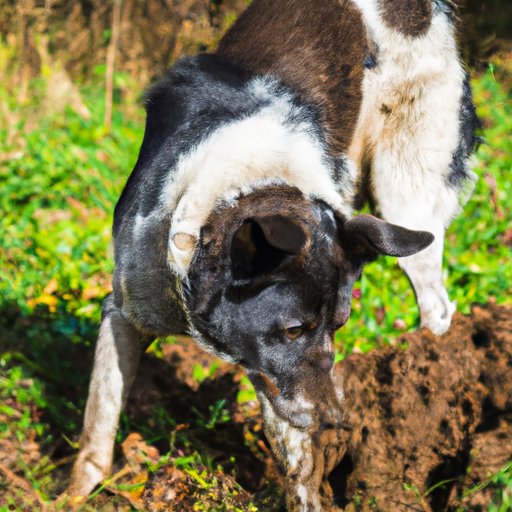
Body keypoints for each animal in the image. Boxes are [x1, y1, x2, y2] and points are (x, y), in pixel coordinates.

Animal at [65, 1, 480, 508]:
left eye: (339, 325)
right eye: (294, 329)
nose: (336, 421)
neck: (247, 185)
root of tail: (417, 10)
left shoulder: (279, 380)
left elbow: (297, 463)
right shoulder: (124, 312)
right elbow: (98, 425)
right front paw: (69, 497)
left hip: (404, 196)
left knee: (435, 305)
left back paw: (425, 373)